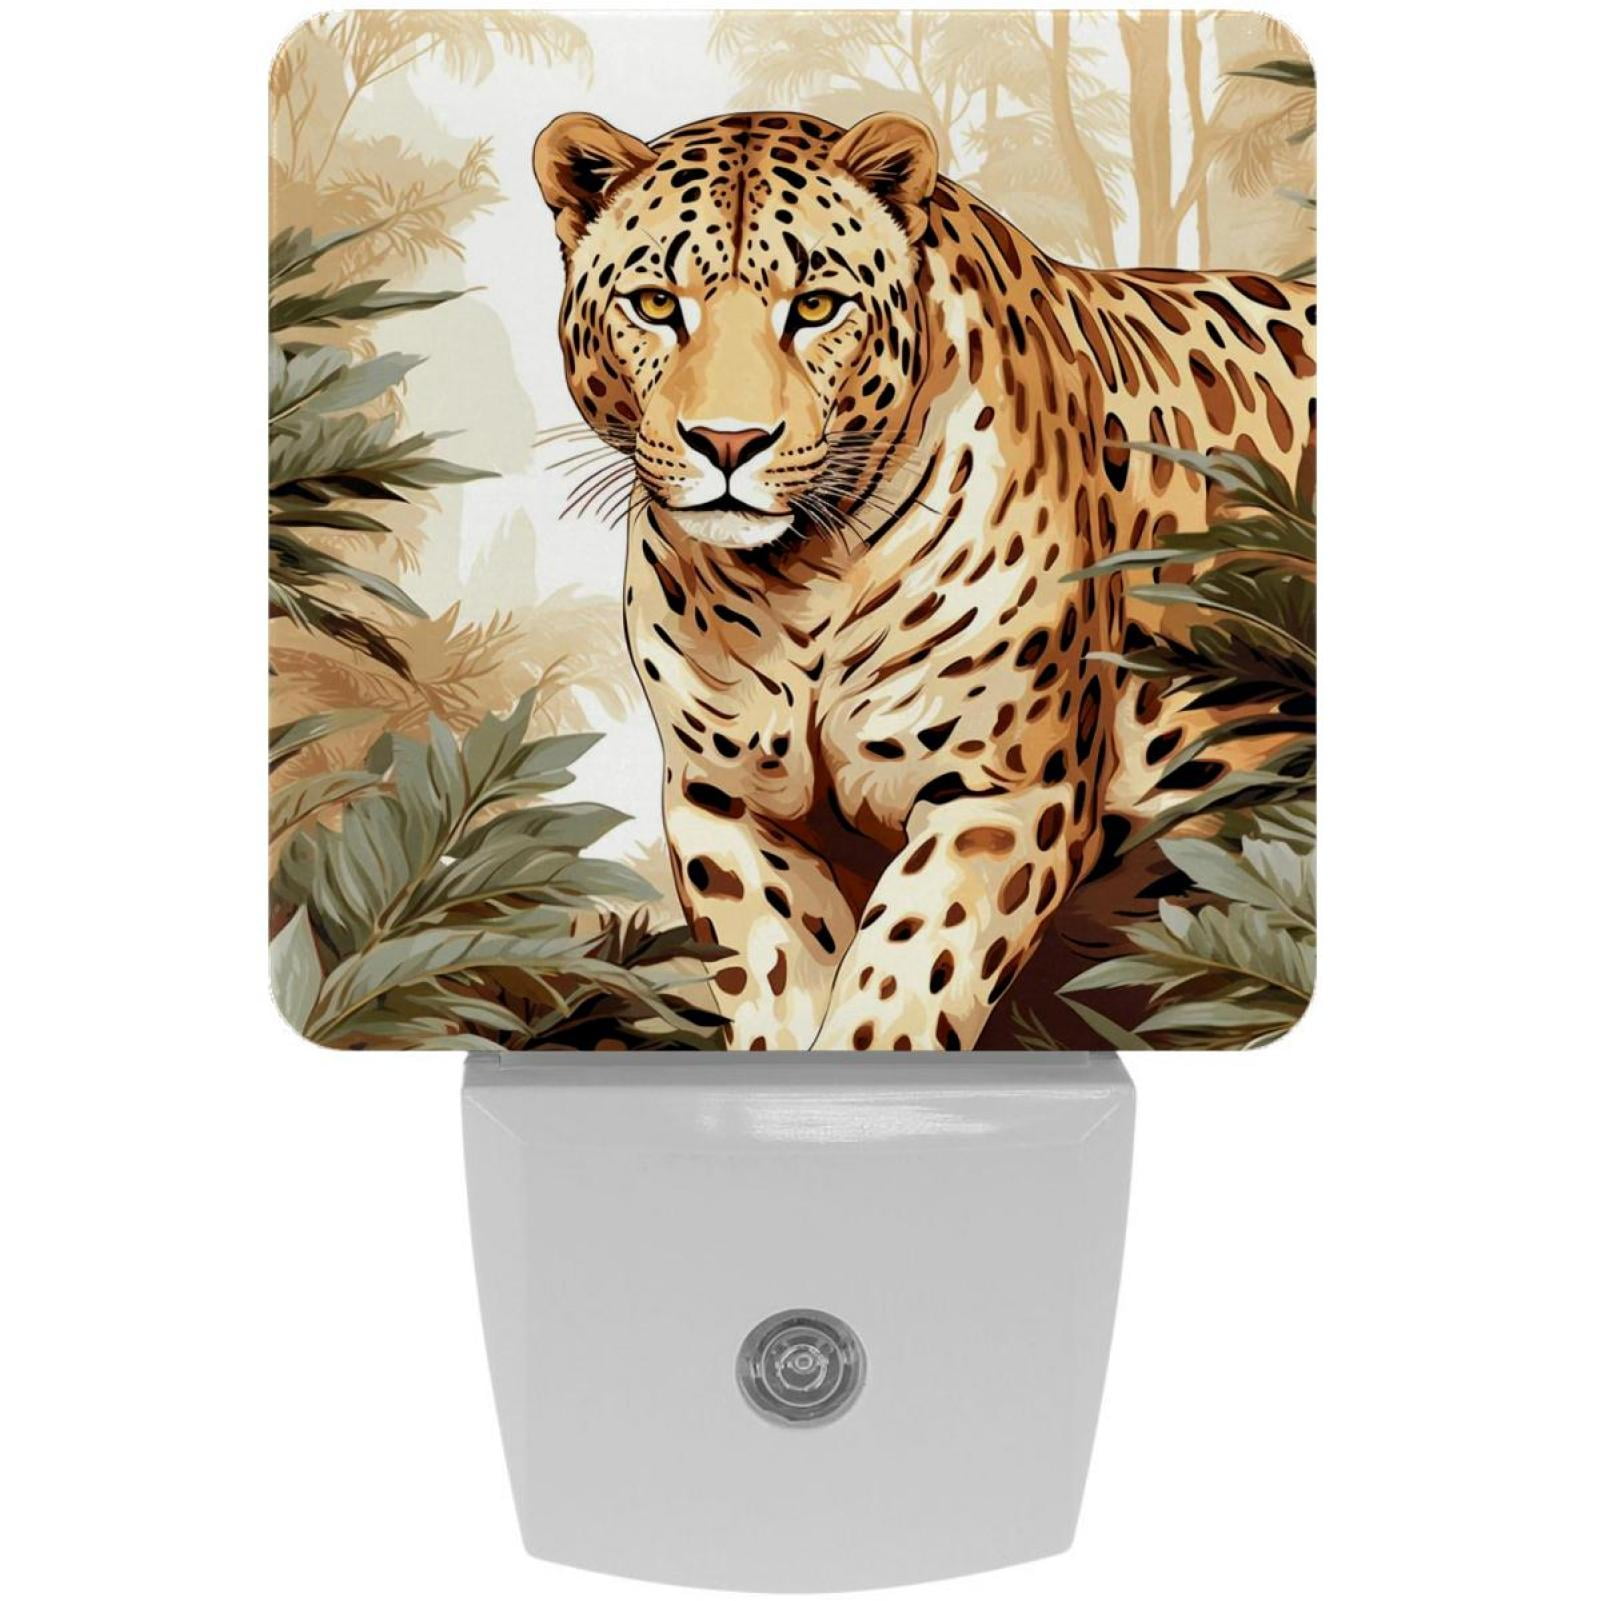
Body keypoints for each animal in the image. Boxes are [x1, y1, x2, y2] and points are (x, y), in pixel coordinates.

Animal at [530, 109, 1316, 1051]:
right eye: (655, 305)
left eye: (816, 307)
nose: (727, 442)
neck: (798, 582)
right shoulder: (729, 807)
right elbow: (778, 986)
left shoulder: (999, 794)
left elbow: (896, 990)